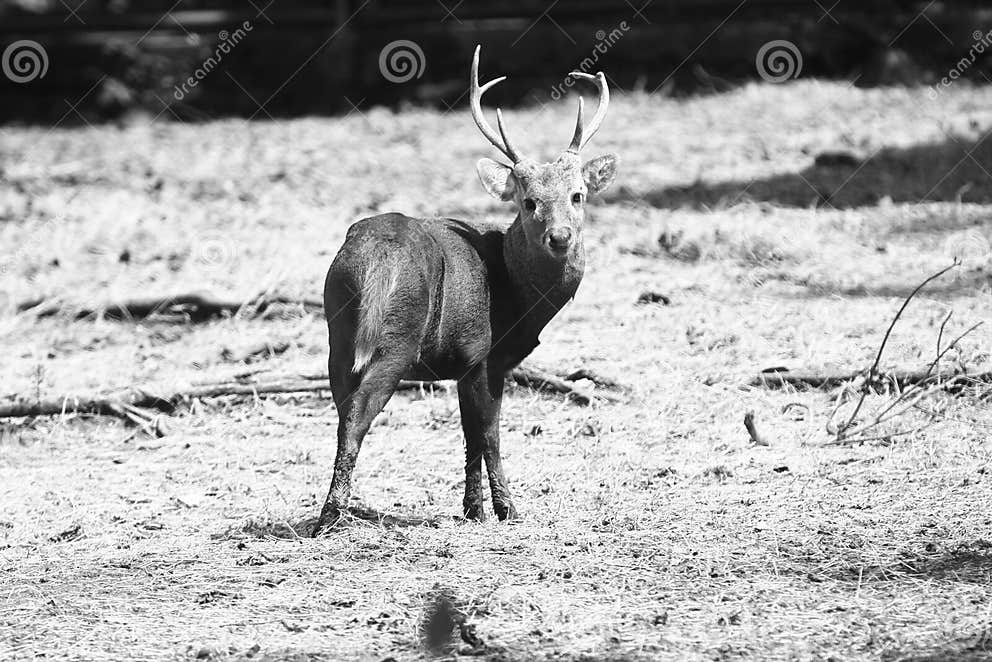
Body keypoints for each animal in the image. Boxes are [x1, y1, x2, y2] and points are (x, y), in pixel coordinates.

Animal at [313, 46, 618, 533]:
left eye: (578, 195)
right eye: (528, 201)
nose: (560, 236)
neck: (520, 298)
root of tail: (376, 253)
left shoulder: (461, 365)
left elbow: (468, 436)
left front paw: (472, 509)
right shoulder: (485, 355)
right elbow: (488, 435)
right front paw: (506, 509)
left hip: (337, 329)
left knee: (341, 411)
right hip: (396, 337)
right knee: (357, 415)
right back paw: (331, 516)